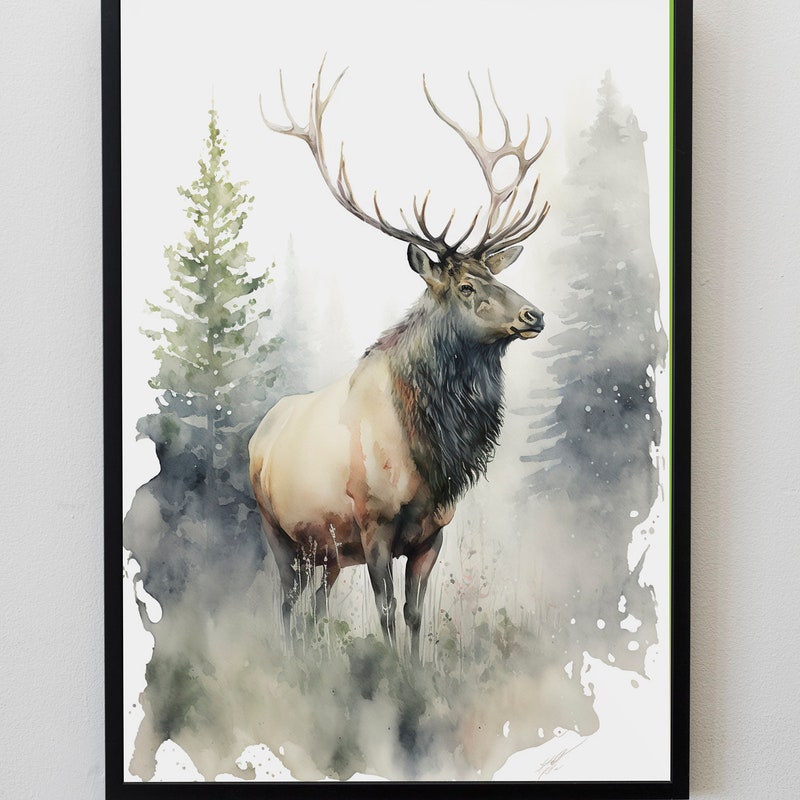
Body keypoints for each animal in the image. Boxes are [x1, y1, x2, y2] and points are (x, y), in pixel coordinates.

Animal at [249, 63, 550, 660]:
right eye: (466, 286)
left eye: (495, 275)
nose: (534, 314)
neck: (431, 453)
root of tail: (259, 433)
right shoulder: (374, 527)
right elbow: (386, 614)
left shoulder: (432, 534)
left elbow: (414, 615)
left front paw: (416, 672)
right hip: (279, 534)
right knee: (287, 608)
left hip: (327, 552)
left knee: (316, 609)